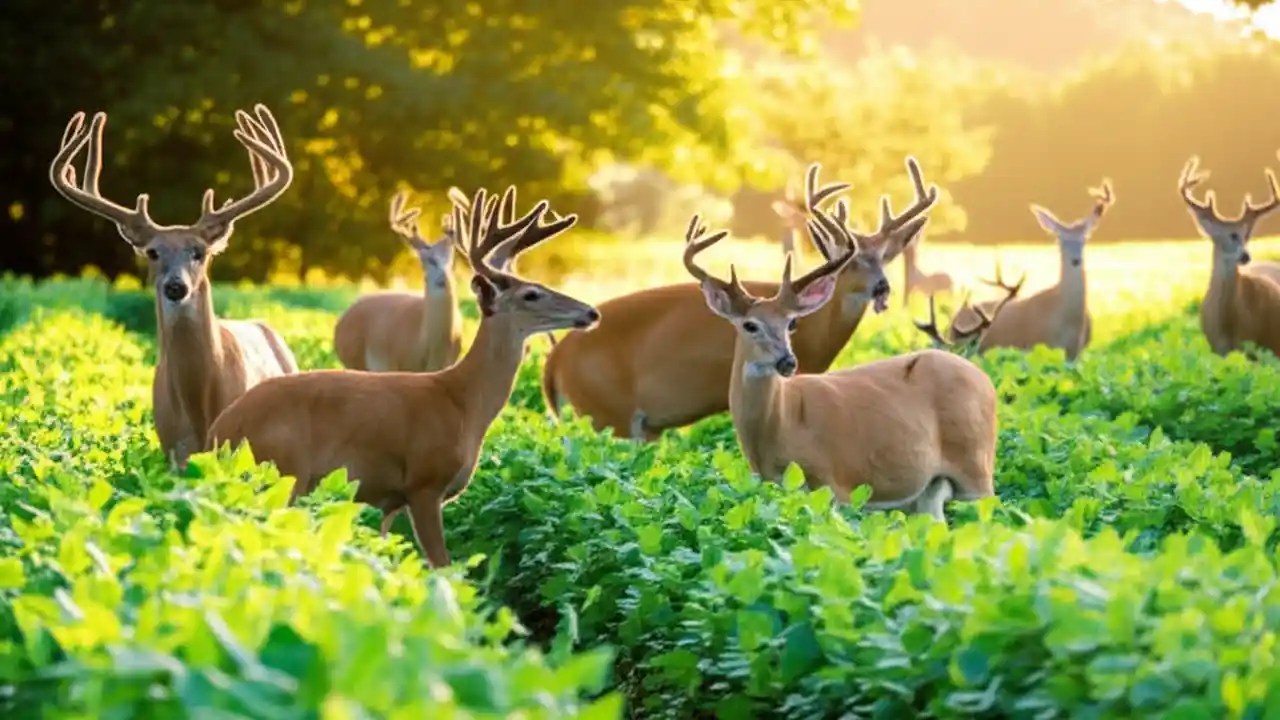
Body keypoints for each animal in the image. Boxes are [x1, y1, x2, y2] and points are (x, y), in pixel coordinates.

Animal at [333, 192, 462, 372]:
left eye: (451, 261)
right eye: (429, 260)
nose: (444, 279)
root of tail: (339, 323)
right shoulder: (397, 361)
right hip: (355, 360)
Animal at [542, 157, 940, 441]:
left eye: (884, 258)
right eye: (853, 260)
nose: (882, 287)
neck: (817, 329)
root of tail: (554, 363)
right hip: (607, 414)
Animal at [682, 212, 997, 521]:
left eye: (792, 323)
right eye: (750, 325)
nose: (788, 361)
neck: (781, 422)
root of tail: (985, 380)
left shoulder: (834, 483)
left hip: (977, 467)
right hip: (930, 489)